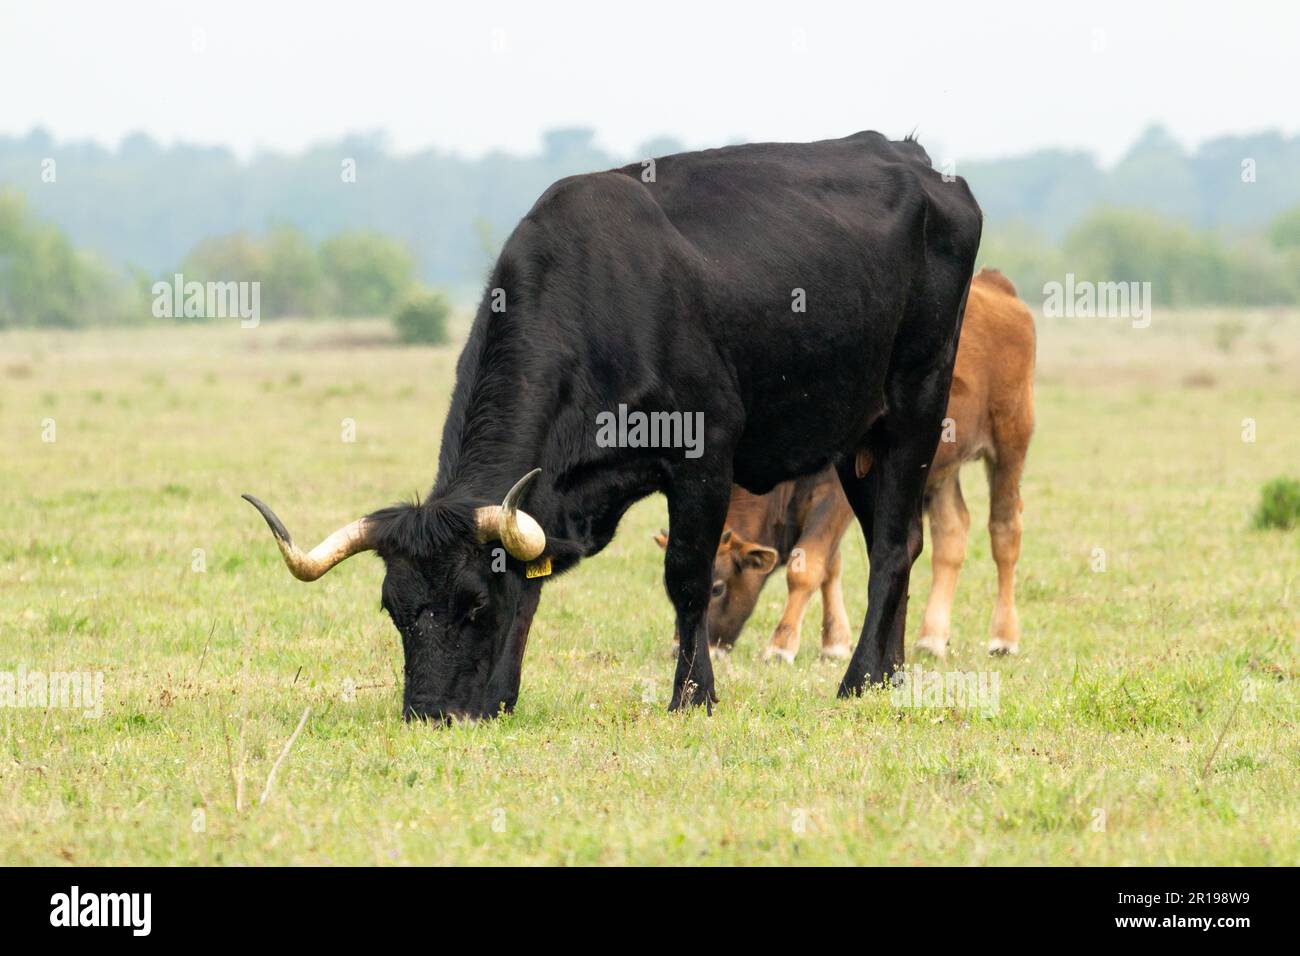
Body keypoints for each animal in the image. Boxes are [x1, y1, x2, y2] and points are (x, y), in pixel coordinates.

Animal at [243, 131, 983, 721]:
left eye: (473, 604)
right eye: (393, 610)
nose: (427, 713)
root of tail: (914, 157)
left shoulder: (705, 455)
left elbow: (686, 579)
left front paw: (693, 697)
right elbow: (531, 588)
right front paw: (500, 697)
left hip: (915, 408)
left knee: (892, 547)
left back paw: (859, 681)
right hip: (859, 442)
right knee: (901, 541)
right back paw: (889, 676)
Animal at [653, 269, 1035, 660]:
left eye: (717, 587)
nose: (678, 649)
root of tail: (995, 286)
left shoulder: (834, 493)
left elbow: (808, 564)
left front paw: (781, 644)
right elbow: (831, 566)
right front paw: (834, 641)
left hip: (1010, 440)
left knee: (1005, 532)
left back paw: (1003, 638)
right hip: (940, 471)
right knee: (951, 534)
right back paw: (931, 637)